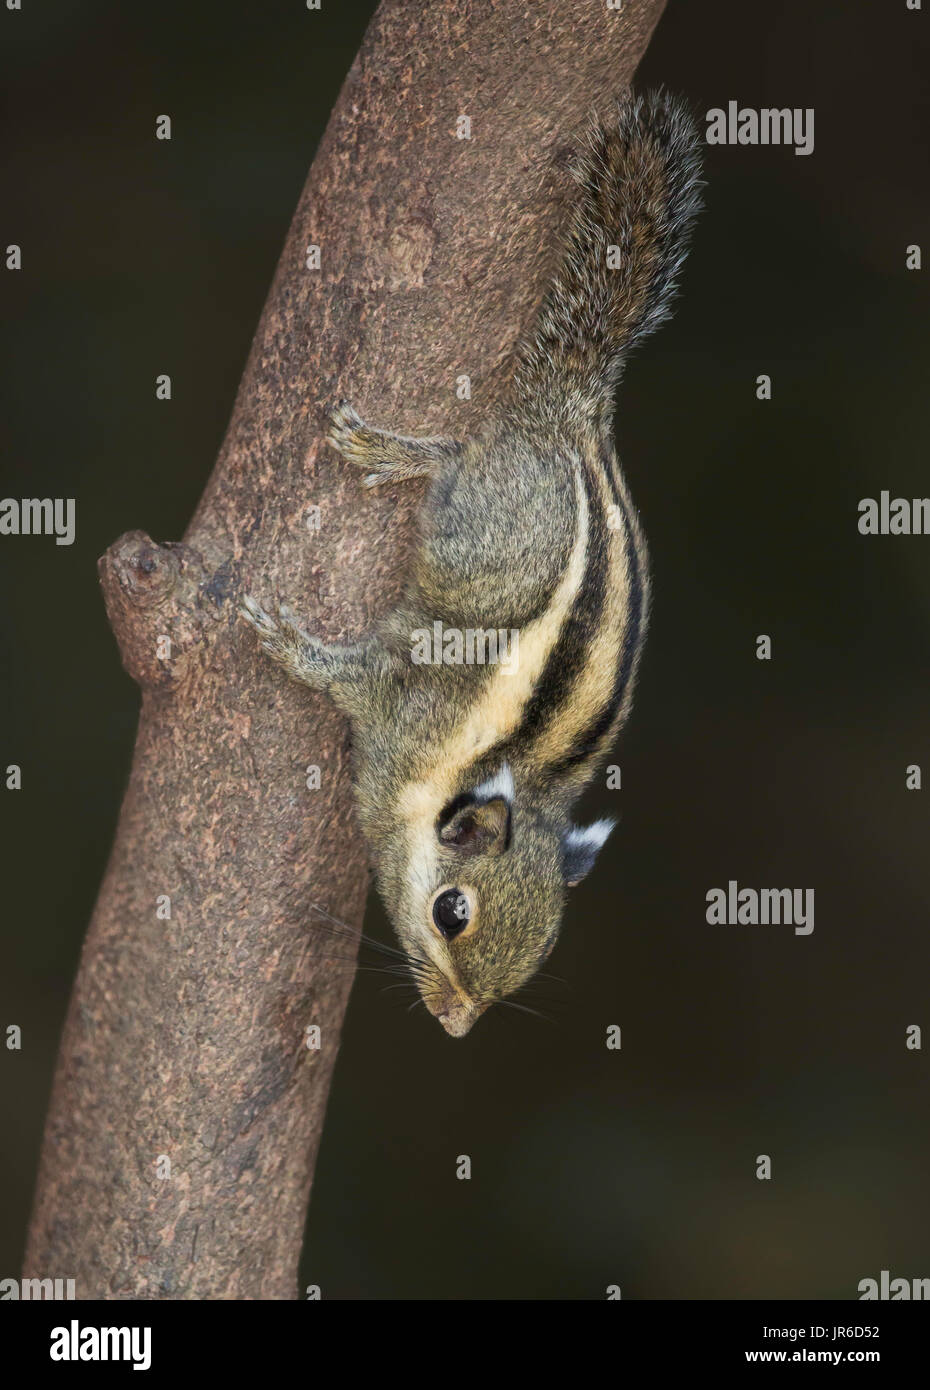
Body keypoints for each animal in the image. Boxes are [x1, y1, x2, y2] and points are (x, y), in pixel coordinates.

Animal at [242, 90, 702, 1037]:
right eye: (451, 913)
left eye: (543, 953)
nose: (456, 1027)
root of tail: (573, 418)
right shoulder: (399, 710)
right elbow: (350, 677)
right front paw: (294, 648)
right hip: (480, 530)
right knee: (455, 461)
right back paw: (399, 452)